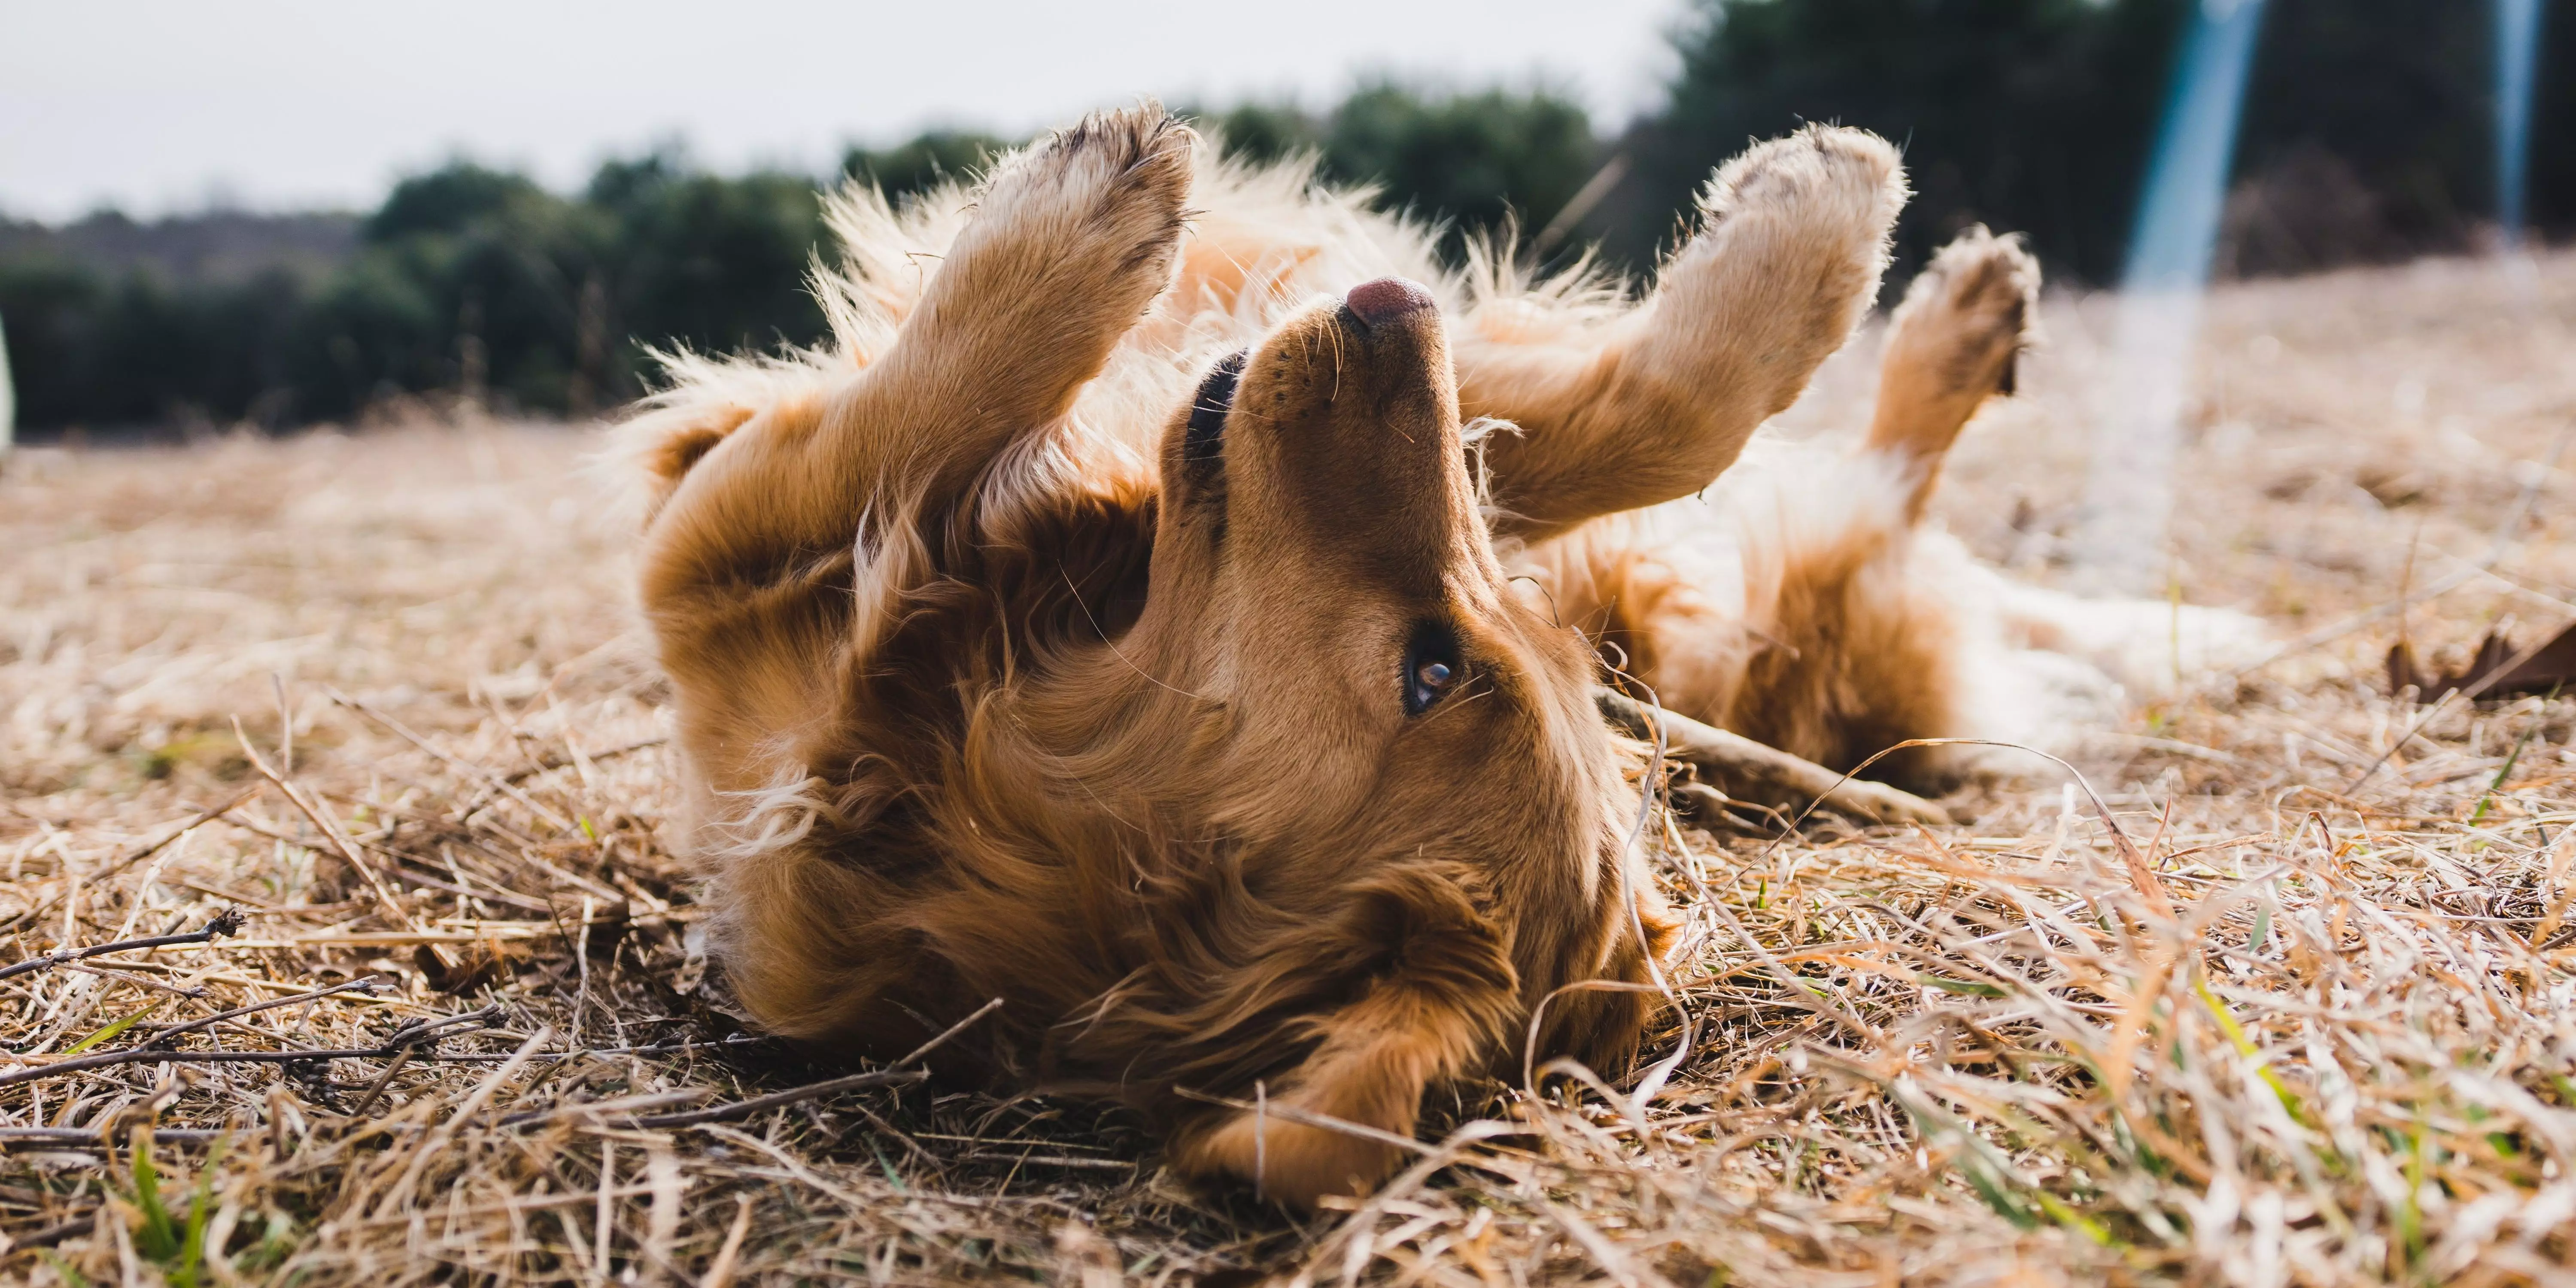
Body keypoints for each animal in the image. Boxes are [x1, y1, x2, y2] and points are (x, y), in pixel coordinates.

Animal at [613, 106, 2246, 1200]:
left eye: (1435, 669)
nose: (1394, 307)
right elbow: (1641, 419)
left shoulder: (712, 564)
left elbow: (914, 414)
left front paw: (1066, 230)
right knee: (1869, 500)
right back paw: (1967, 316)